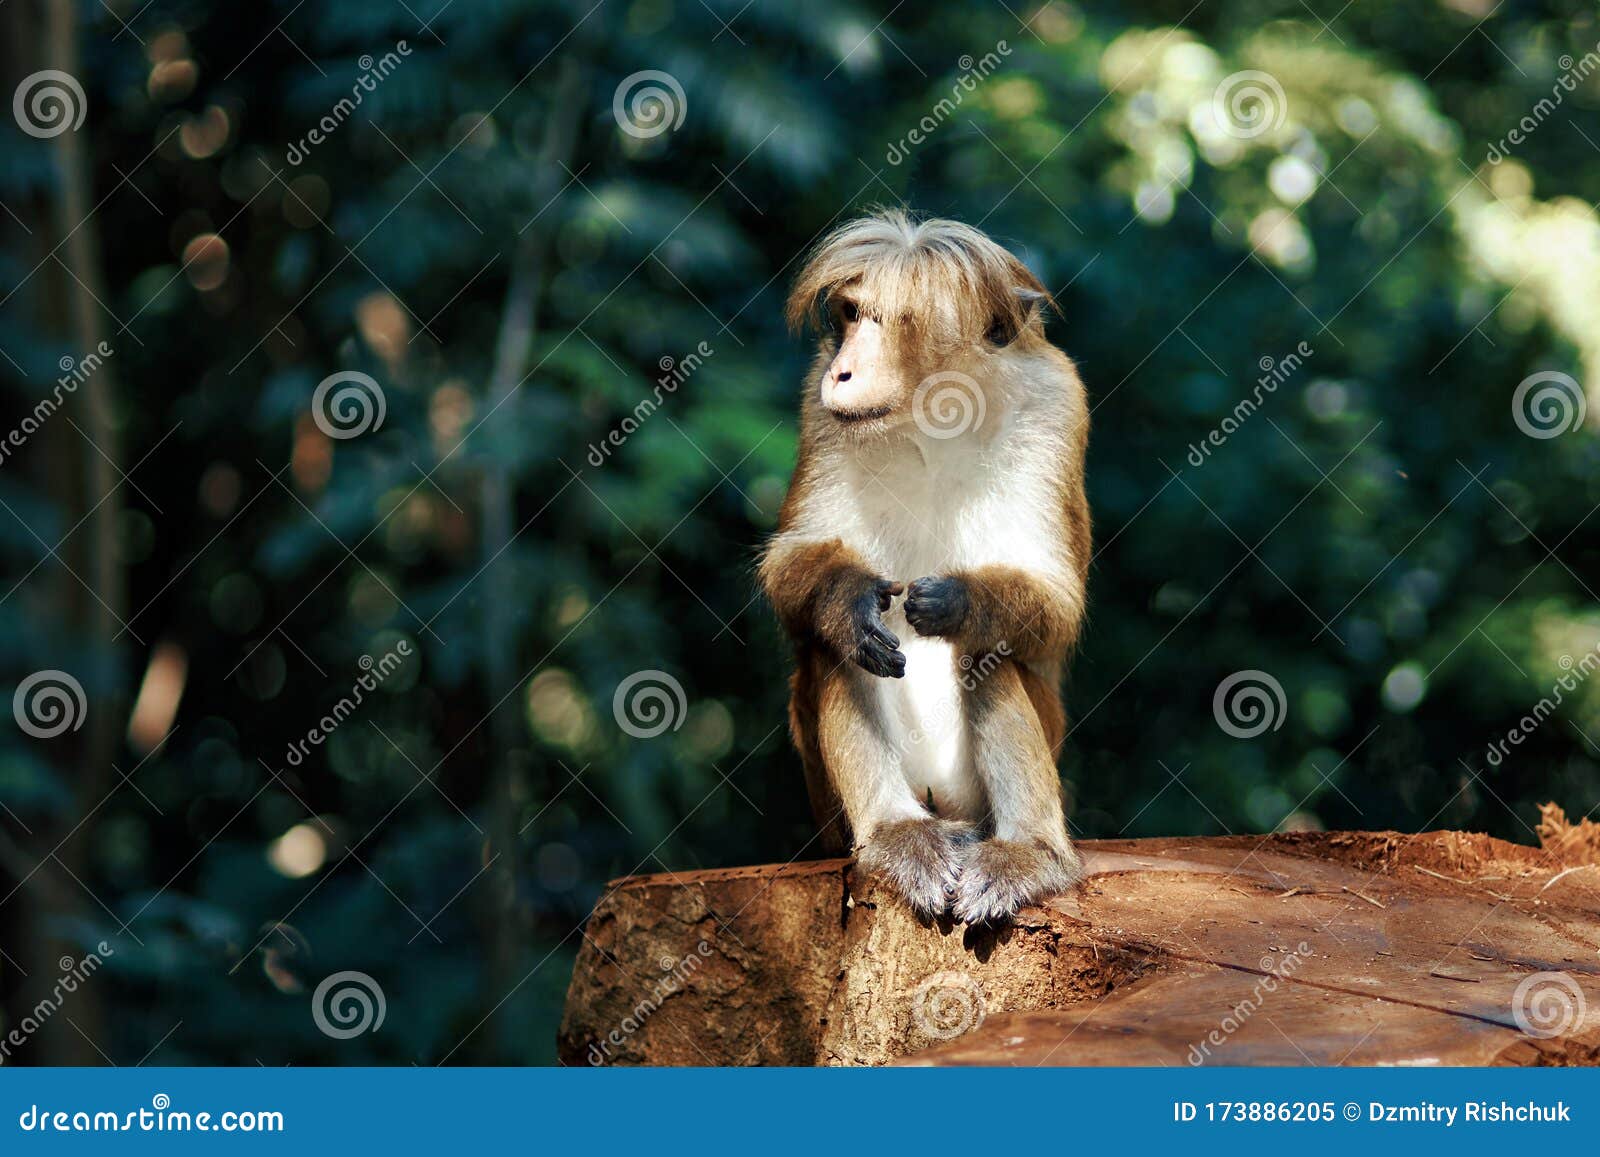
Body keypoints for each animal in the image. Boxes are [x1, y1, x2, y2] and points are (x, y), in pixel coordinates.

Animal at [759, 210, 1092, 924]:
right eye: (852, 315)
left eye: (886, 320)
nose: (843, 371)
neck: (935, 415)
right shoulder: (818, 411)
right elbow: (797, 565)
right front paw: (850, 598)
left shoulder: (1056, 404)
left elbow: (1052, 605)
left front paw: (959, 600)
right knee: (835, 647)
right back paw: (897, 833)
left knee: (987, 649)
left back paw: (1030, 853)